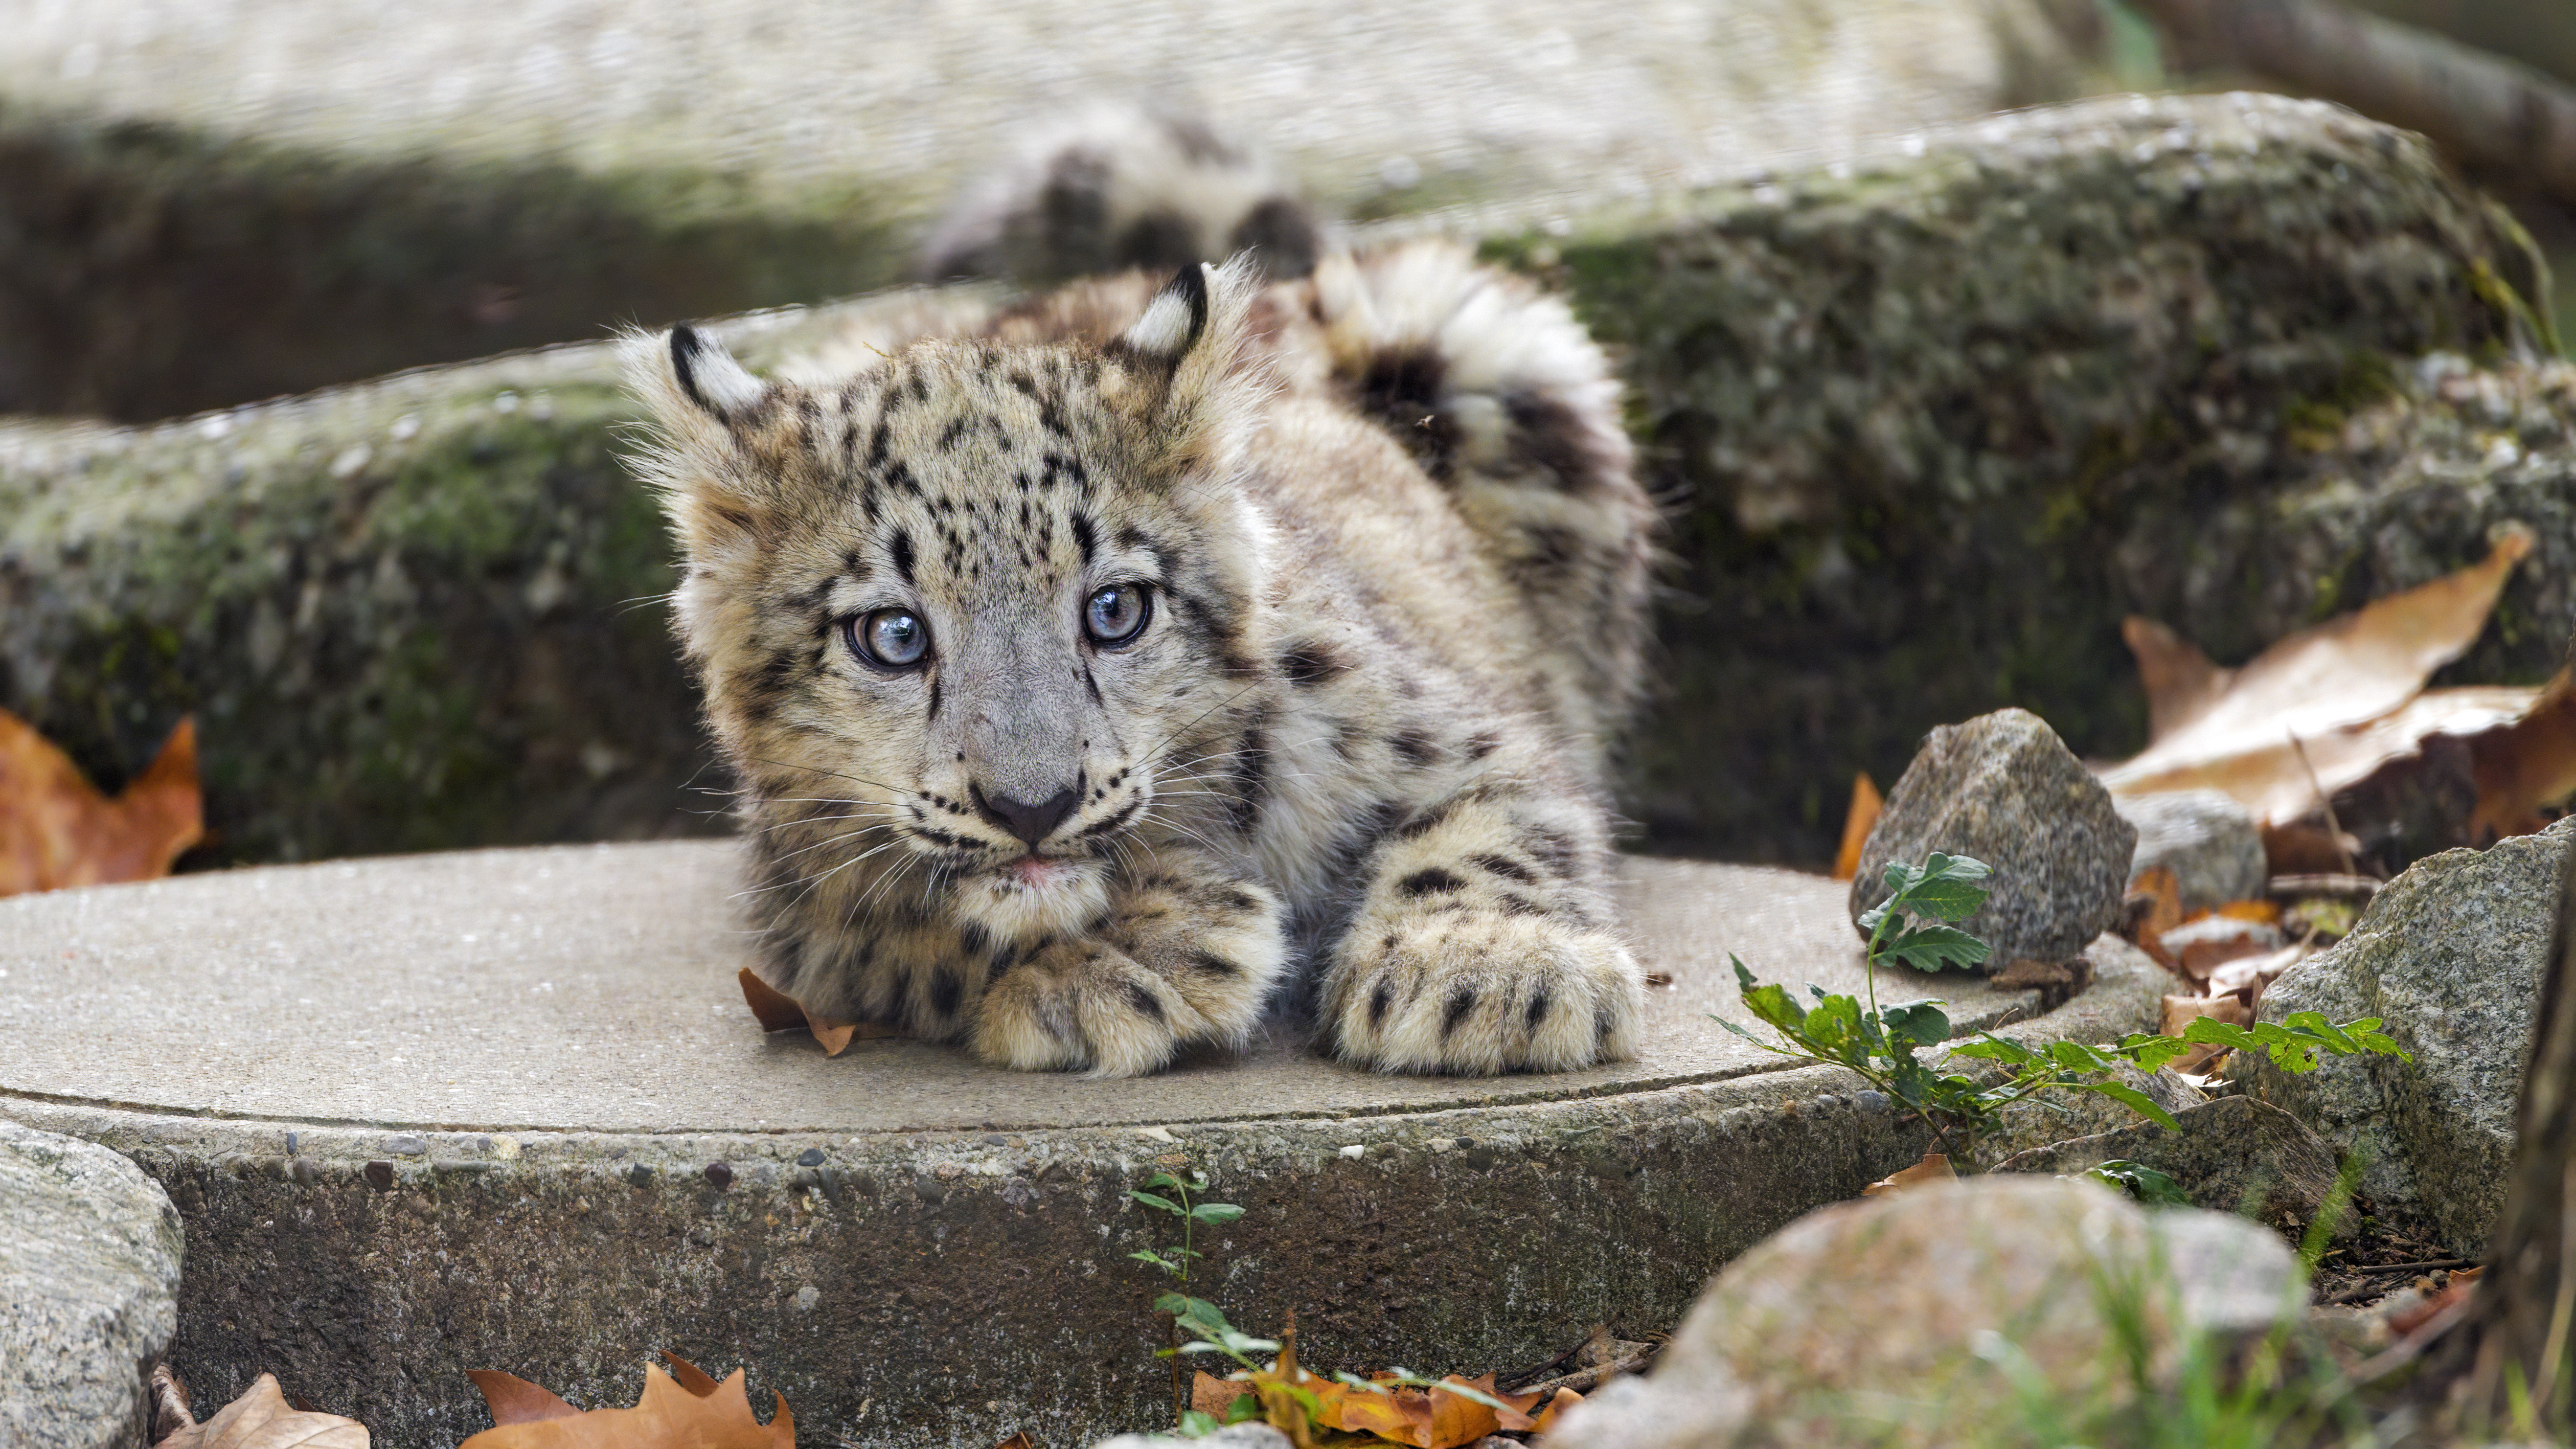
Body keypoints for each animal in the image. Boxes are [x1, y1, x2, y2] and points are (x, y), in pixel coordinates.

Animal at [622, 143, 1656, 1078]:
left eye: (1114, 608)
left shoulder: (1455, 736)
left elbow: (1500, 828)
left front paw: (1486, 969)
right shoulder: (805, 907)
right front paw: (1136, 952)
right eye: (894, 634)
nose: (1031, 806)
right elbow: (915, 921)